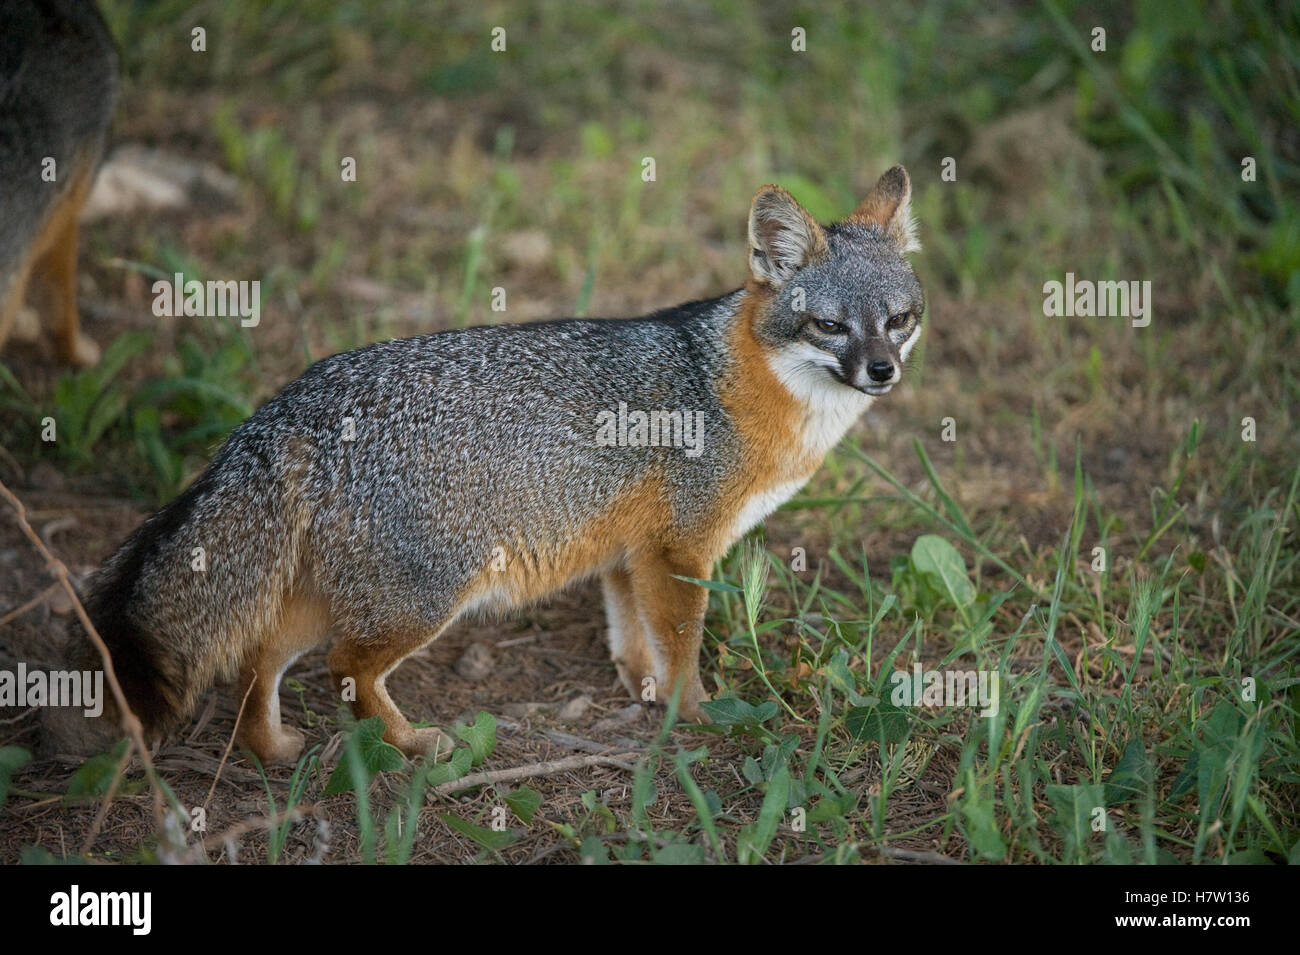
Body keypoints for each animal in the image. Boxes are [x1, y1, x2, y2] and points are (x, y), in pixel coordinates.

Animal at [43, 165, 925, 765]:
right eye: (831, 325)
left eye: (900, 319)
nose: (883, 372)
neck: (735, 381)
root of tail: (290, 403)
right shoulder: (679, 548)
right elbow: (681, 646)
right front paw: (694, 712)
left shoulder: (628, 551)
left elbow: (632, 637)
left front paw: (642, 692)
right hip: (426, 594)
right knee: (344, 668)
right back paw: (410, 744)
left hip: (334, 593)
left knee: (259, 660)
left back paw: (275, 749)